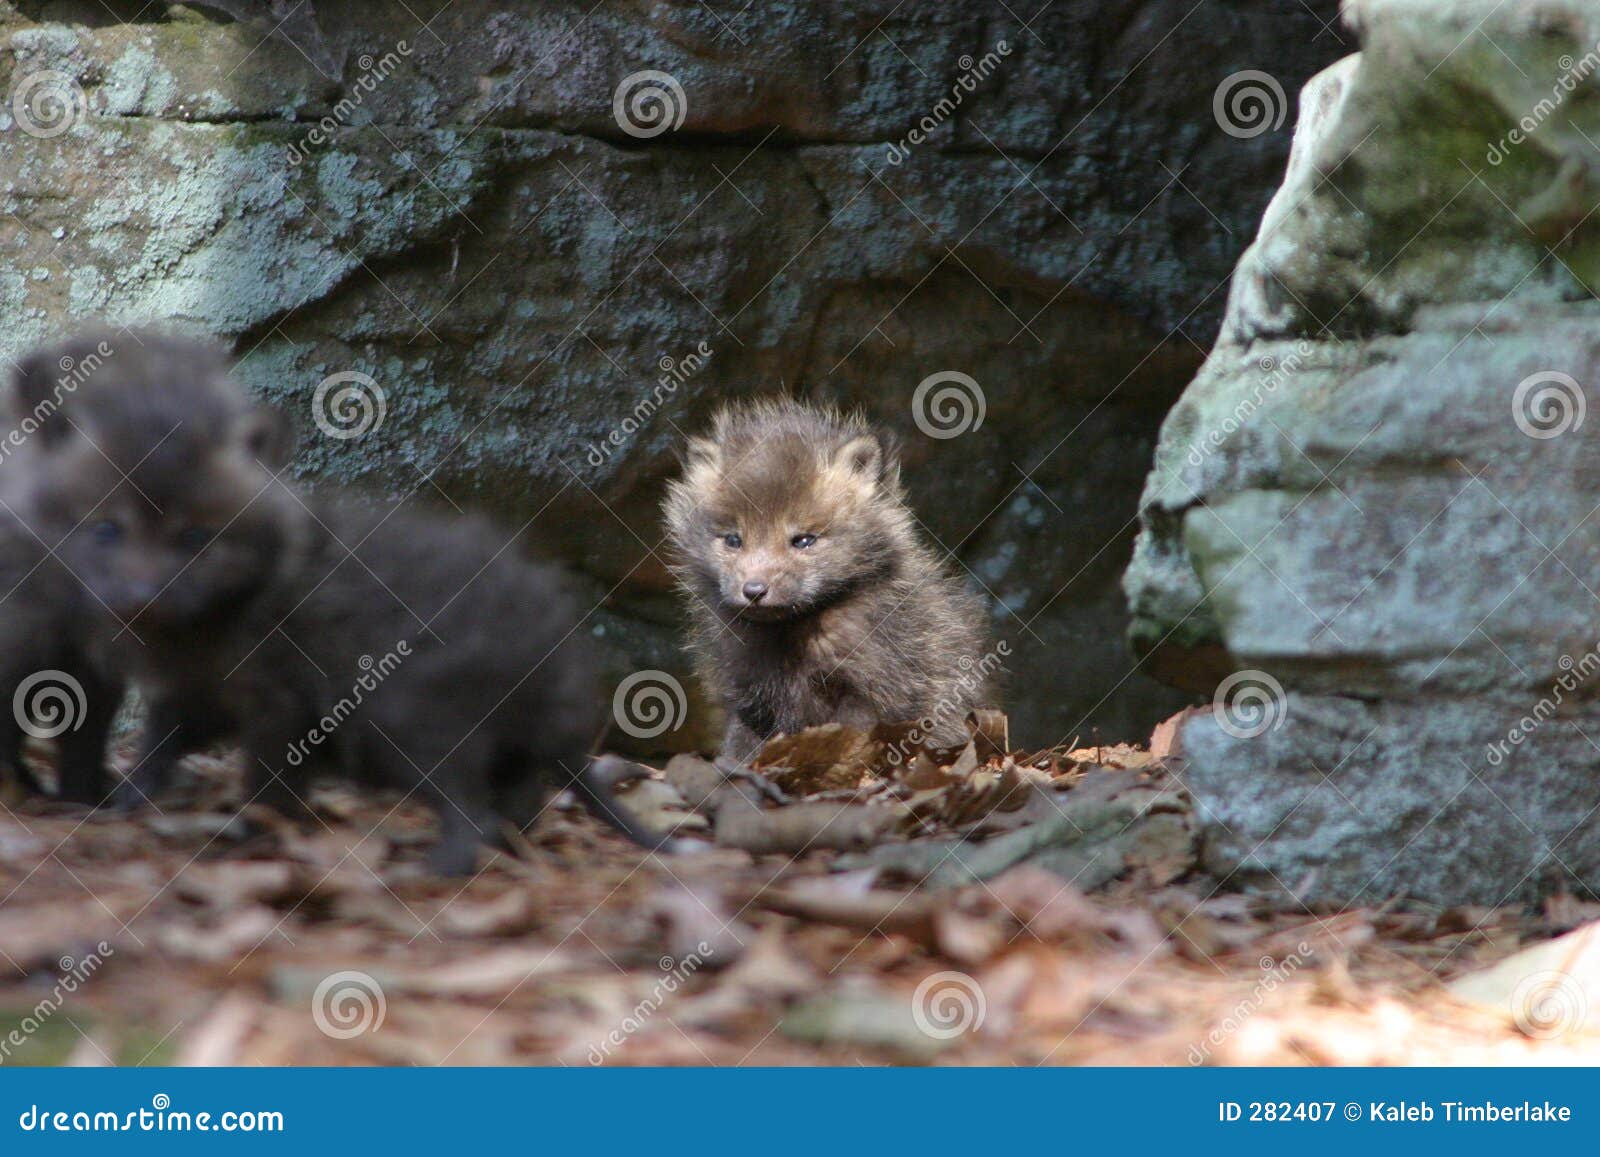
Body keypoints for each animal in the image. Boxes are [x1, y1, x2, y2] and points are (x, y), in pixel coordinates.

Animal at [662, 398, 994, 763]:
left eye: (803, 540)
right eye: (733, 540)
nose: (754, 590)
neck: (793, 636)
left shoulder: (872, 688)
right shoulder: (748, 693)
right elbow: (741, 746)